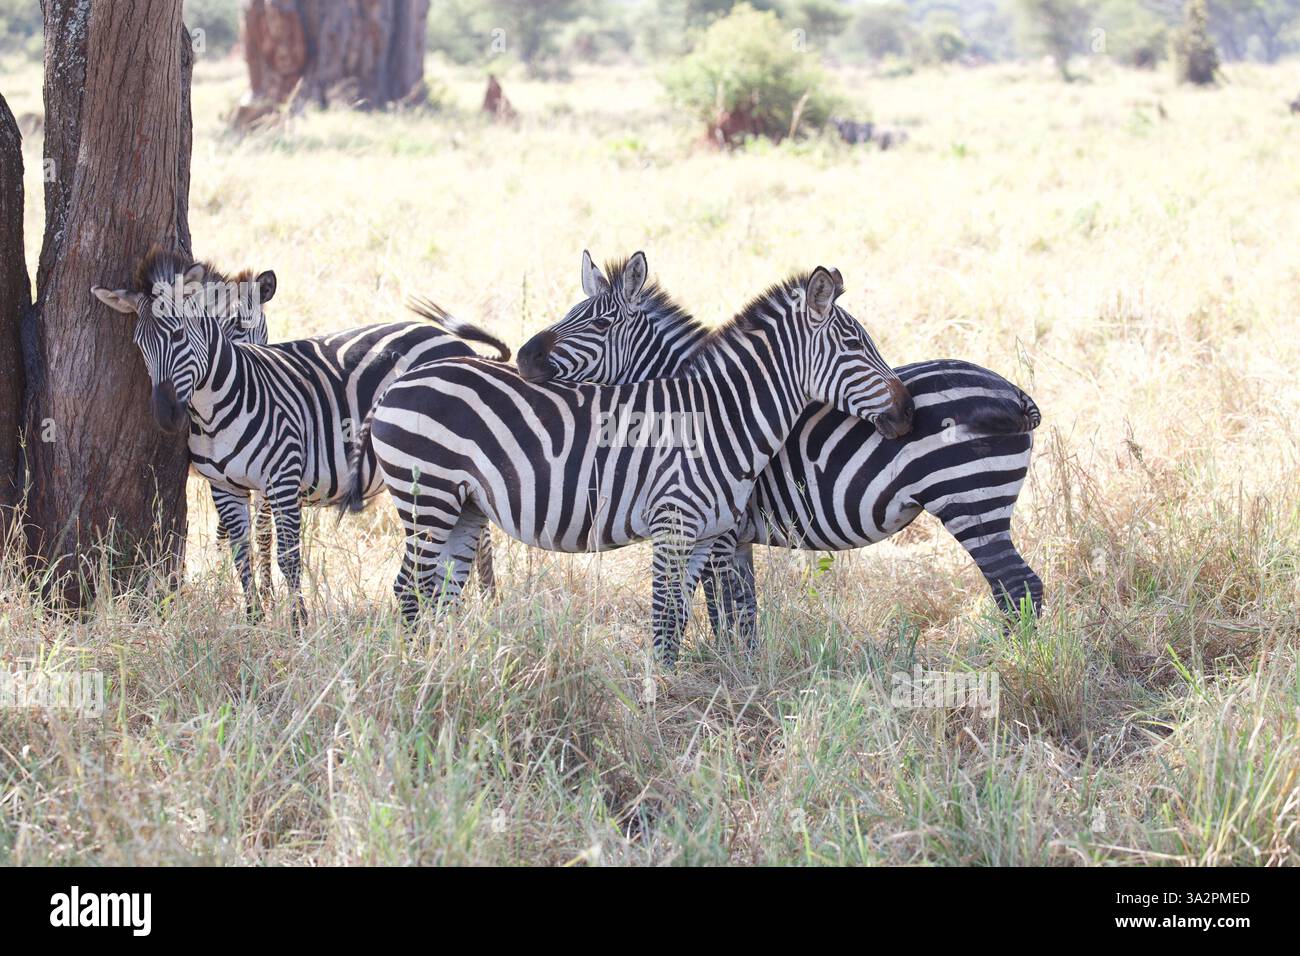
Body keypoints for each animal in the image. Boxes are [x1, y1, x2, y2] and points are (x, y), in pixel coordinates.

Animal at [91, 253, 508, 628]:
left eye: (179, 335)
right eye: (138, 344)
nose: (167, 416)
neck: (214, 410)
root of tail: (454, 343)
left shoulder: (282, 477)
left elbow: (285, 553)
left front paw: (297, 623)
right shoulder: (224, 486)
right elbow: (241, 551)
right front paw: (254, 617)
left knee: (482, 533)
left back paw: (488, 600)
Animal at [344, 267, 914, 665]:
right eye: (854, 346)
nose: (909, 413)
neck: (720, 416)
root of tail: (398, 383)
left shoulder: (708, 534)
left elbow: (688, 614)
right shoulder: (675, 524)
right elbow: (674, 615)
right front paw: (658, 702)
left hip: (462, 507)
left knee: (439, 592)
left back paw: (443, 668)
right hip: (428, 497)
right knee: (409, 589)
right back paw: (416, 673)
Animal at [514, 252, 1043, 639]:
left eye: (598, 325)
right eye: (568, 314)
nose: (521, 356)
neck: (708, 403)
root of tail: (1014, 392)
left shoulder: (720, 533)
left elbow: (719, 609)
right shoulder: (734, 537)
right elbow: (740, 610)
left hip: (970, 501)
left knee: (1017, 588)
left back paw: (1011, 665)